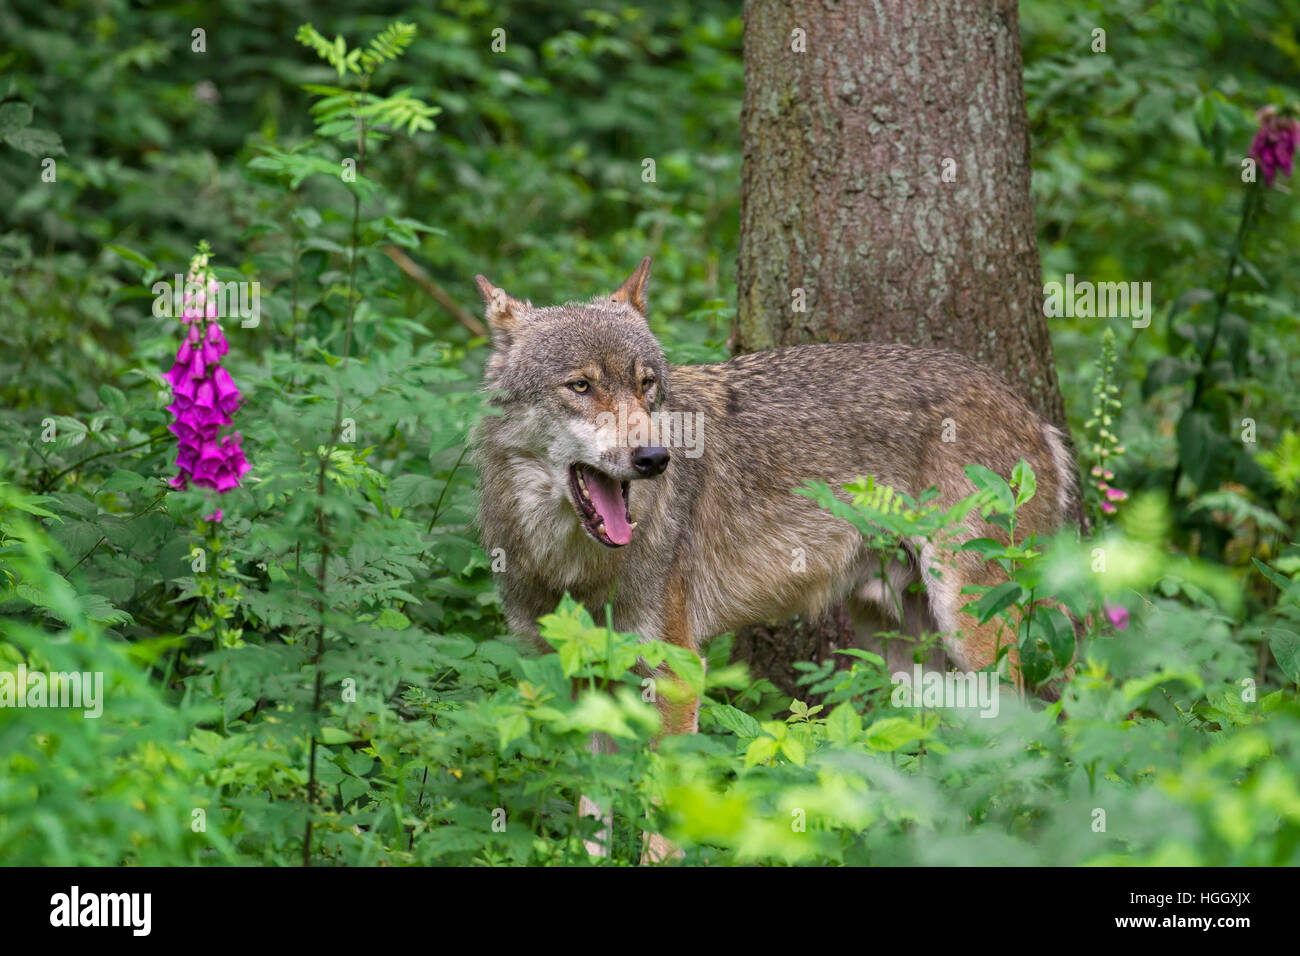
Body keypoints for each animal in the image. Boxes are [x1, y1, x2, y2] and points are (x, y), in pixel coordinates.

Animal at [474, 258, 1078, 739]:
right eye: (581, 386)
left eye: (647, 385)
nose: (654, 457)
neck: (570, 565)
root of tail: (1032, 414)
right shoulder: (586, 677)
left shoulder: (676, 673)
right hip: (901, 656)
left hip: (973, 633)